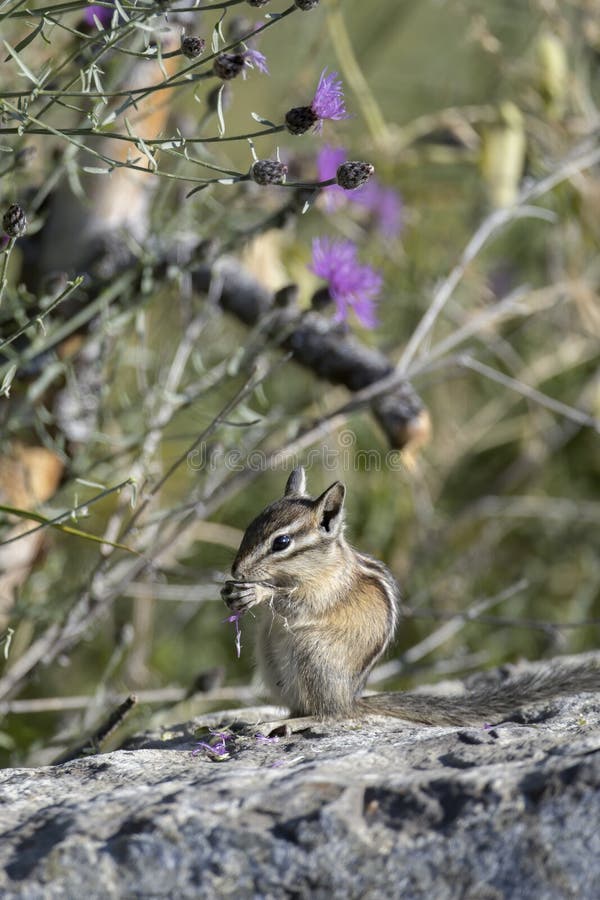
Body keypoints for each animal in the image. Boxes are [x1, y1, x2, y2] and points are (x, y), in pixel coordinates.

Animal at [221, 467, 600, 727]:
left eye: (282, 542)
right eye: (250, 526)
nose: (237, 569)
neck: (323, 562)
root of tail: (352, 698)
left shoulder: (324, 590)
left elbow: (296, 601)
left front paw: (256, 591)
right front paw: (230, 591)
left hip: (313, 657)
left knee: (328, 715)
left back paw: (289, 723)